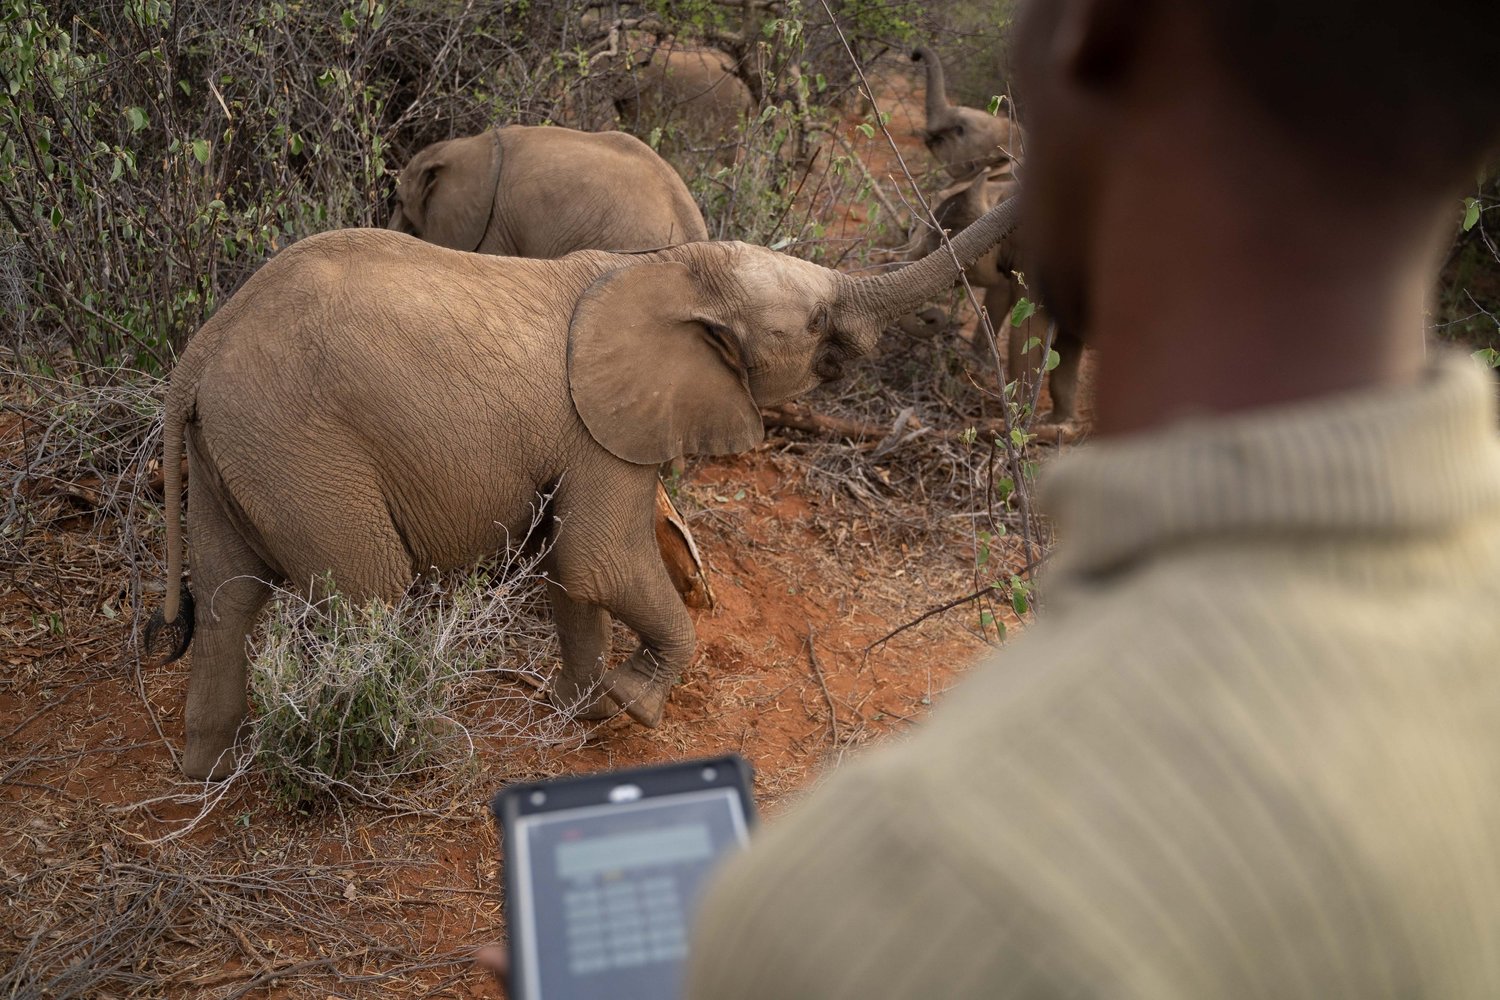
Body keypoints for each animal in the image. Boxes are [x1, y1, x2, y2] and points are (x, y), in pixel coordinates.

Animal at [142, 196, 1021, 780]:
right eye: (812, 325)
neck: (667, 270)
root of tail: (203, 349)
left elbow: (567, 569)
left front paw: (583, 711)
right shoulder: (601, 430)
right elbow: (600, 560)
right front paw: (634, 705)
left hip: (242, 453)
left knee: (225, 599)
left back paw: (209, 771)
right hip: (302, 447)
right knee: (370, 594)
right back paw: (403, 755)